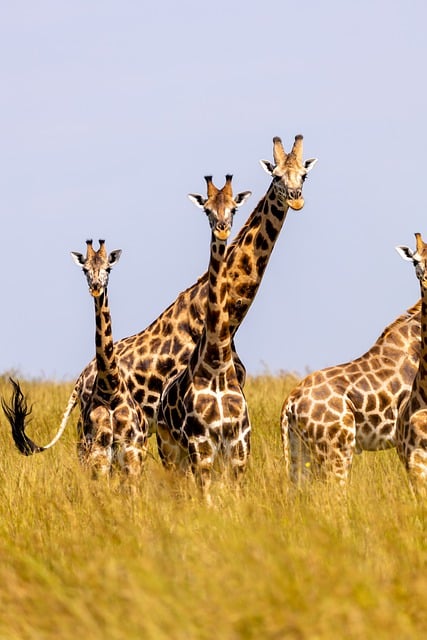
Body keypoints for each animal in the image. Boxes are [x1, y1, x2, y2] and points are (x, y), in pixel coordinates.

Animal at [2, 241, 149, 480]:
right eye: (85, 270)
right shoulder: (98, 455)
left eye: (108, 268)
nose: (96, 287)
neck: (110, 388)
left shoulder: (132, 454)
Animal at [156, 176, 251, 504]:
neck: (217, 366)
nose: (222, 229)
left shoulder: (238, 444)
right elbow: (207, 499)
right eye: (207, 210)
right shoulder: (201, 443)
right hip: (170, 449)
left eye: (234, 208)